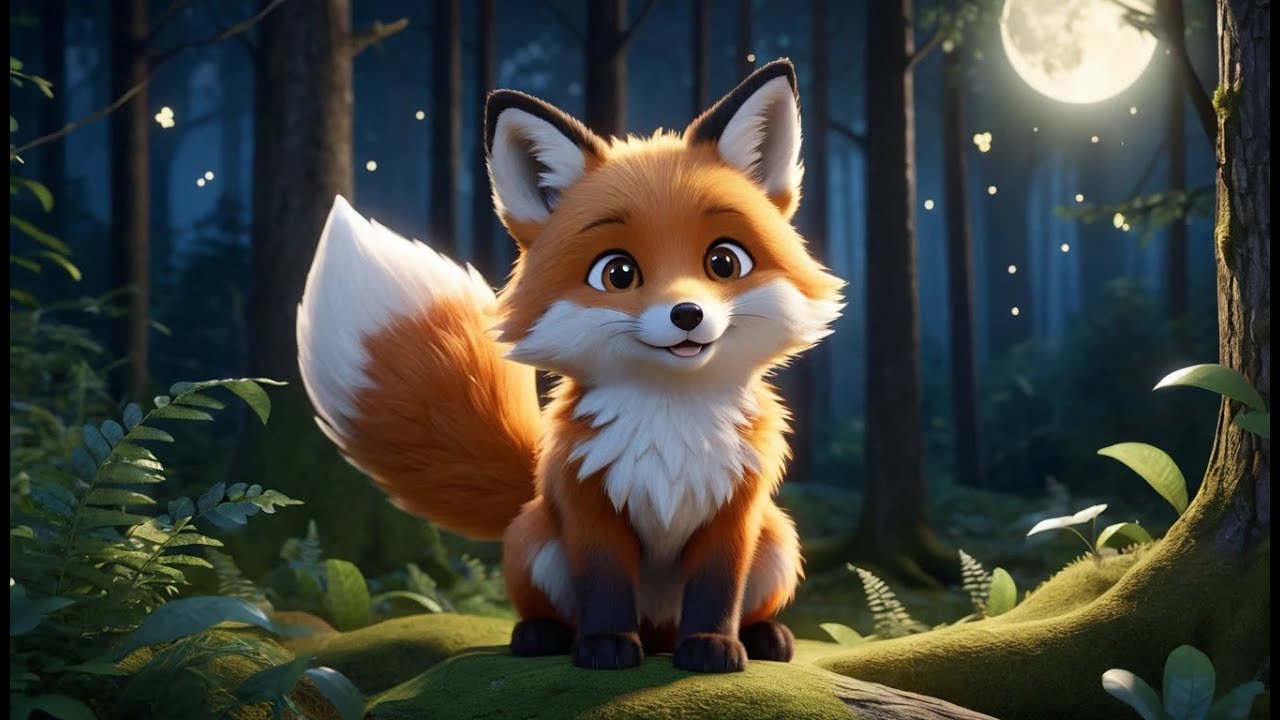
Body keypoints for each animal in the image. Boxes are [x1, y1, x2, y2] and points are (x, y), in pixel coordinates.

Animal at [296, 59, 844, 673]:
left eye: (724, 262)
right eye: (618, 272)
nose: (687, 314)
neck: (671, 417)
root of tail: (659, 628)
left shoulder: (736, 510)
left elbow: (717, 588)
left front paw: (713, 647)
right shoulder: (590, 503)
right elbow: (604, 585)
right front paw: (606, 648)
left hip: (778, 540)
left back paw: (763, 636)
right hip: (535, 542)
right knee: (555, 608)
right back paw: (543, 636)